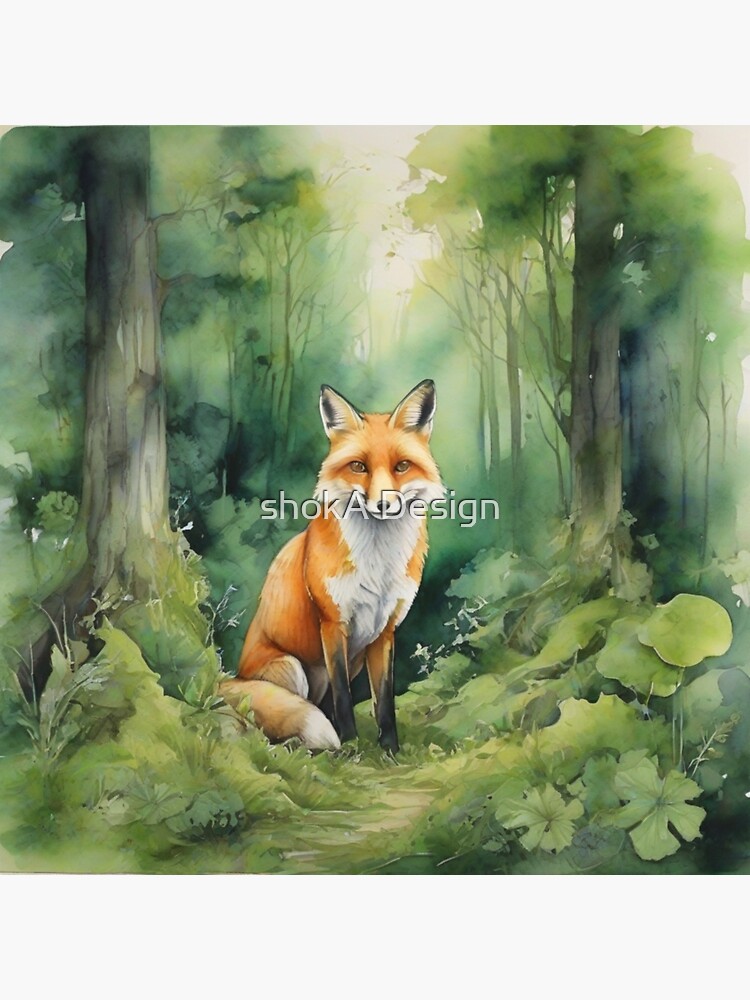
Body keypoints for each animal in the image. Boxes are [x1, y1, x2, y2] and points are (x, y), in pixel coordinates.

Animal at [219, 379, 443, 753]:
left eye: (401, 466)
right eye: (359, 466)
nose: (384, 504)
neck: (377, 562)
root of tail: (235, 676)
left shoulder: (384, 631)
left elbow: (384, 700)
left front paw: (390, 750)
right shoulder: (332, 623)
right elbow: (343, 699)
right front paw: (351, 747)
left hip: (347, 662)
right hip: (292, 667)